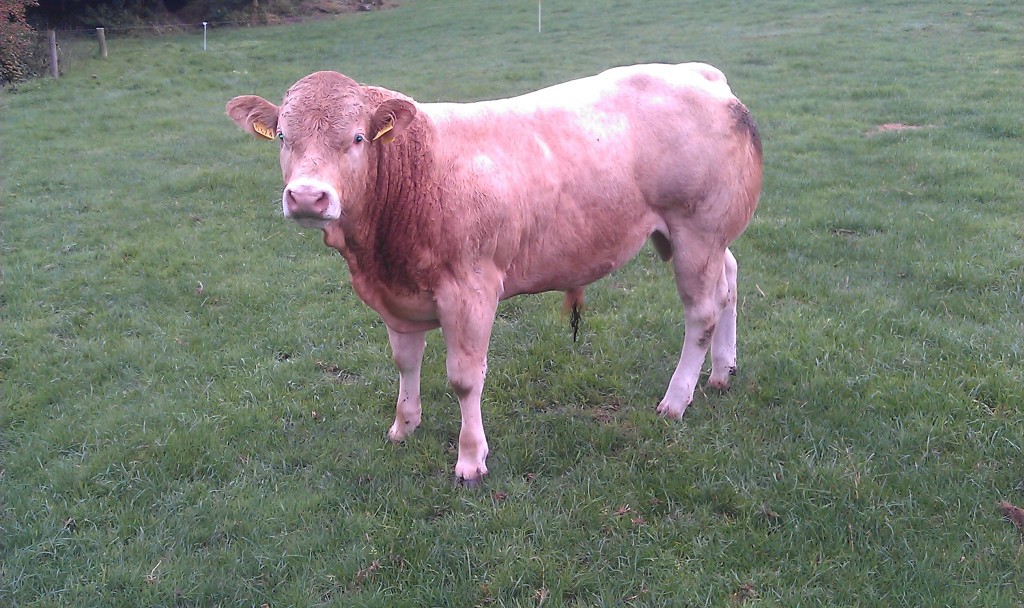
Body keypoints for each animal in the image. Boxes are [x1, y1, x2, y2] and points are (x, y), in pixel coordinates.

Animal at [226, 63, 762, 484]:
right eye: (282, 137)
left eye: (357, 138)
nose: (307, 197)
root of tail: (700, 74)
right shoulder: (395, 296)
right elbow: (405, 362)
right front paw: (404, 426)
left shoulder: (470, 290)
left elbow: (465, 379)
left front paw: (470, 459)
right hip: (704, 238)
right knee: (730, 281)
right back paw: (723, 371)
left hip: (697, 229)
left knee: (702, 313)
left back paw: (676, 399)